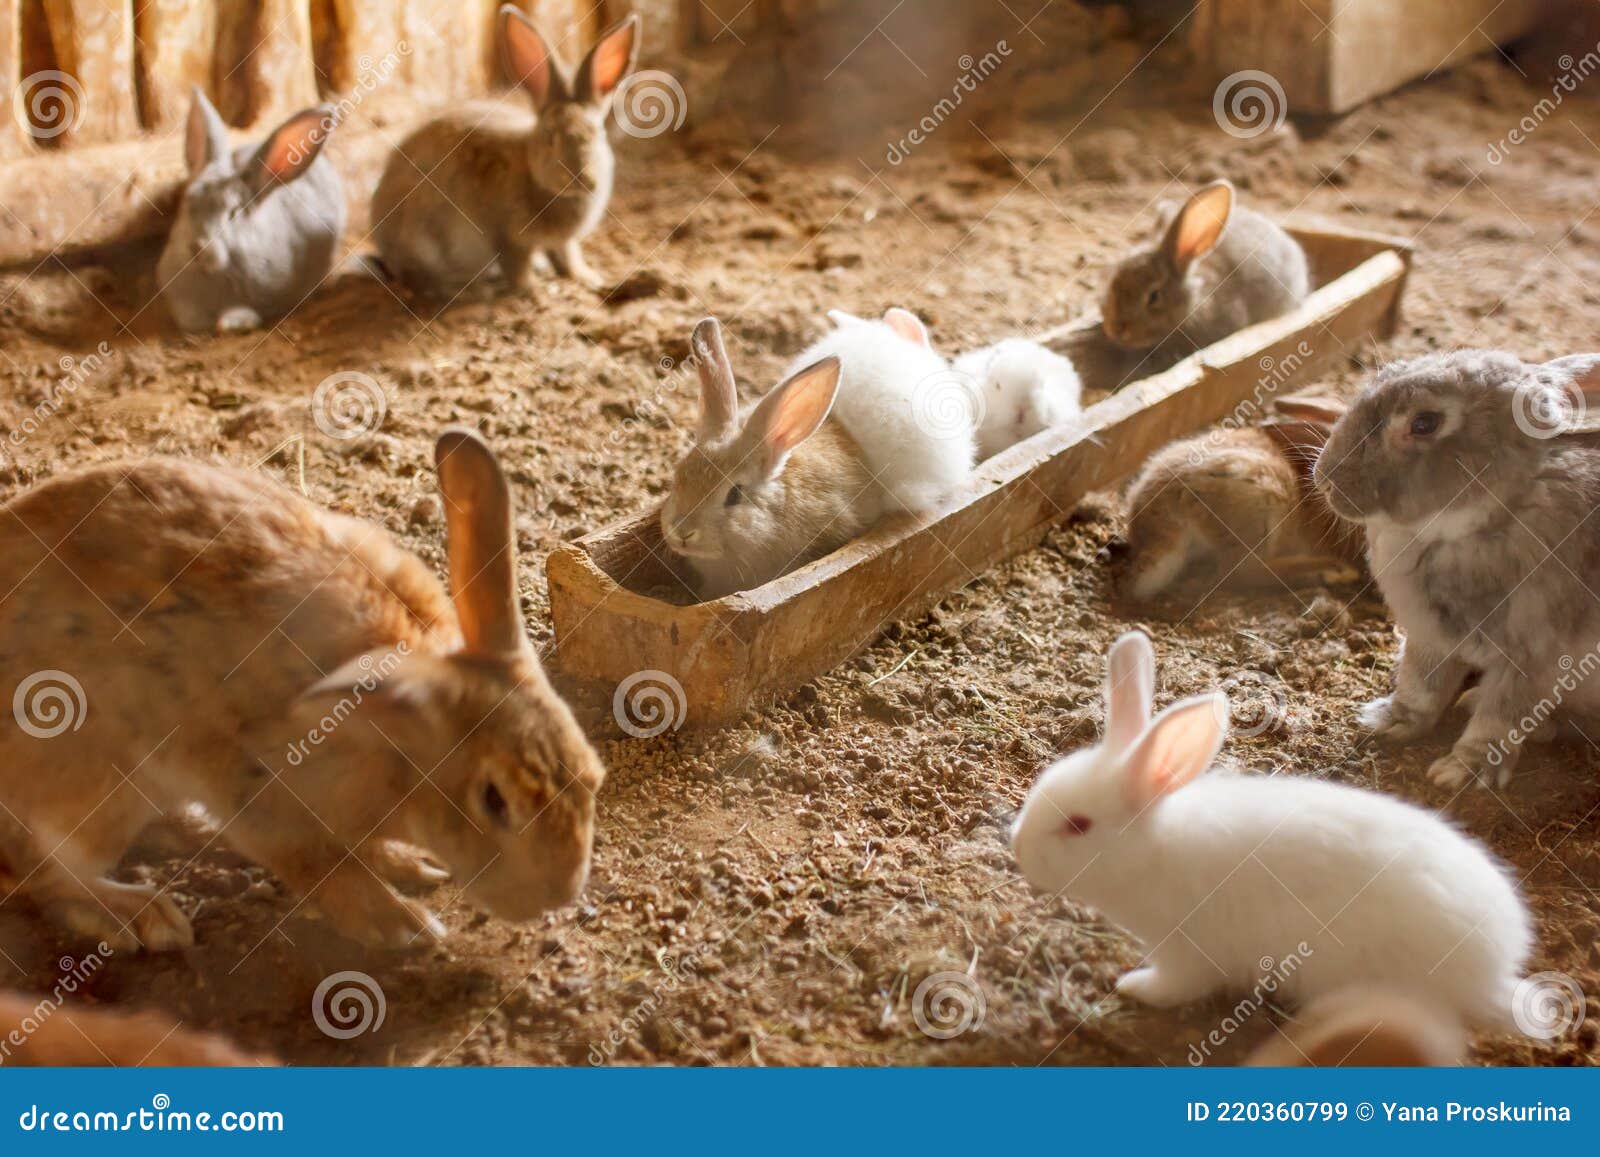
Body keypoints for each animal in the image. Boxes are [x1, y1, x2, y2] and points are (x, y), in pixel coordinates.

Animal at [0, 428, 604, 953]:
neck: (393, 739)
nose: (558, 895)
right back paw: (141, 916)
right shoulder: (259, 794)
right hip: (88, 793)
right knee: (41, 878)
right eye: (494, 800)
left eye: (591, 774)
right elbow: (321, 866)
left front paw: (408, 864)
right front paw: (401, 923)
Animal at [370, 7, 640, 297]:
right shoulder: (508, 237)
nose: (582, 177)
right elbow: (516, 266)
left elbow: (568, 255)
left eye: (598, 133)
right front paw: (534, 289)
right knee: (421, 278)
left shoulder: (562, 241)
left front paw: (587, 277)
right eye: (549, 136)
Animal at [1010, 631, 1531, 1028]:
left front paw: (1132, 987)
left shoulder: (1185, 954)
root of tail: (1494, 971)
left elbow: (1174, 986)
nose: (1017, 849)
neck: (1152, 850)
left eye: (1078, 825)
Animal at [1313, 349, 1600, 789]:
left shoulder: (1536, 653)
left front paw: (1461, 773)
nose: (1325, 479)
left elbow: (1501, 717)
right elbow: (1421, 685)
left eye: (1424, 423)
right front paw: (1386, 722)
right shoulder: (1430, 637)